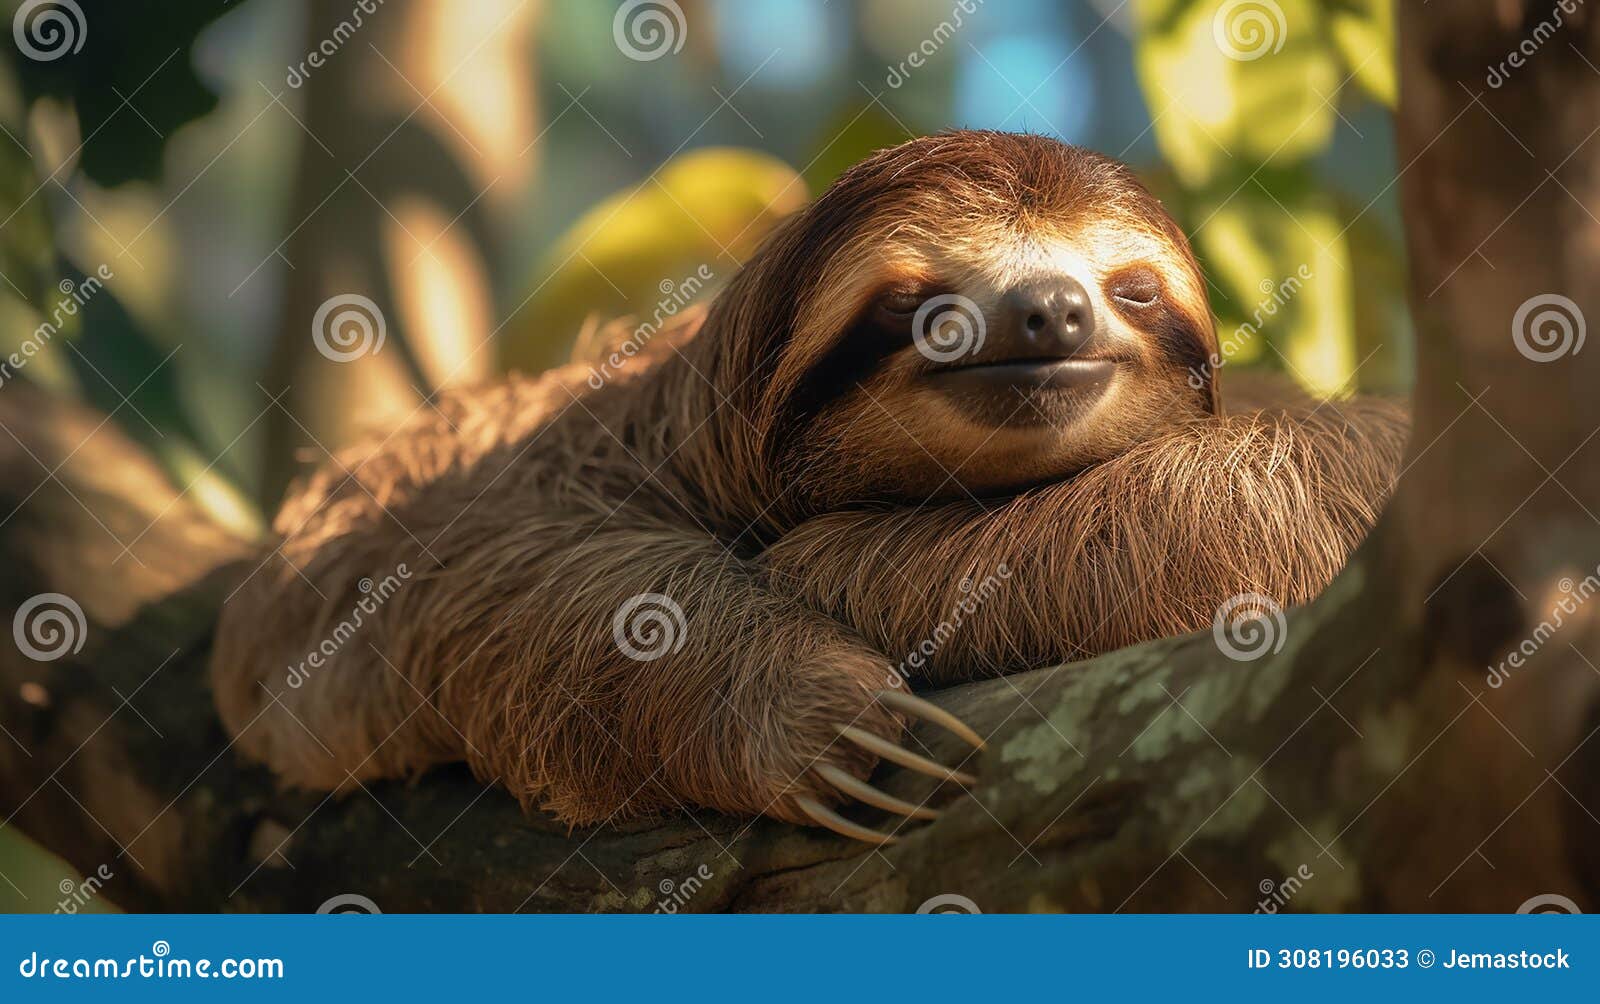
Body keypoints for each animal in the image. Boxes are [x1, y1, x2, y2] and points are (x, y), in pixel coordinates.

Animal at [211, 131, 1408, 845]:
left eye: (1131, 289)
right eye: (919, 305)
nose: (1051, 310)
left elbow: (1294, 486)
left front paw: (840, 571)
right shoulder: (543, 480)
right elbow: (511, 583)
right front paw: (819, 715)